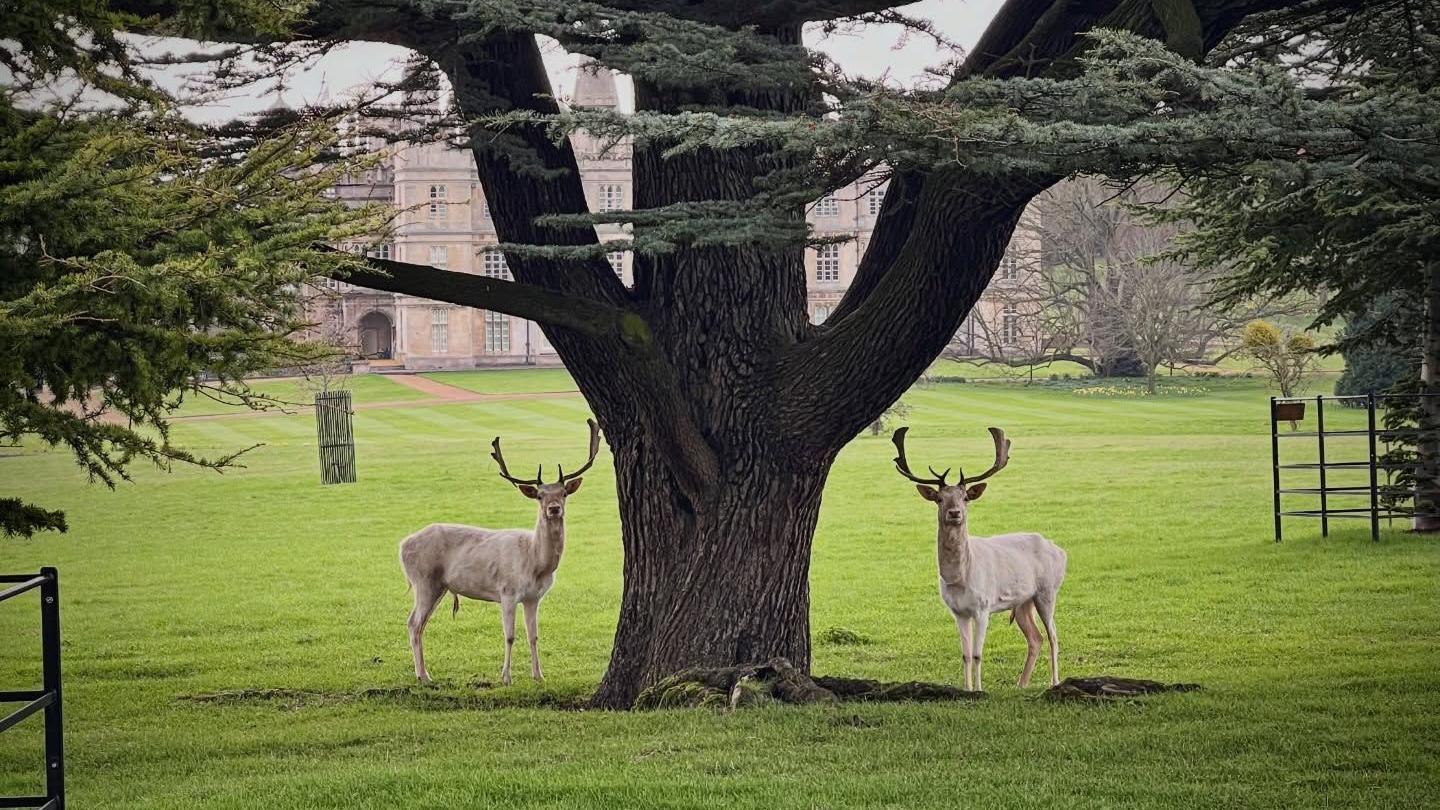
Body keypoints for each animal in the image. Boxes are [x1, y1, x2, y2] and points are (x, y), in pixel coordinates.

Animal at [398, 419, 600, 685]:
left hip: (438, 586)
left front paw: (539, 675)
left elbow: (534, 636)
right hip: (423, 580)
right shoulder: (507, 591)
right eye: (539, 496)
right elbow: (510, 636)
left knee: (420, 625)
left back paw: (423, 673)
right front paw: (506, 677)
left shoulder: (534, 597)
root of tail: (402, 545)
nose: (554, 508)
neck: (536, 563)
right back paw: (424, 675)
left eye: (564, 493)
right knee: (413, 623)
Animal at [891, 426, 1067, 692]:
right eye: (940, 499)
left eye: (965, 497)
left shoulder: (983, 607)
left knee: (1053, 636)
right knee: (1035, 638)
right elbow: (964, 654)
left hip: (1047, 591)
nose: (955, 513)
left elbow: (977, 654)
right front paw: (967, 689)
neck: (959, 578)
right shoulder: (957, 611)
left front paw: (980, 689)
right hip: (1023, 601)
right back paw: (1021, 684)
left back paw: (1054, 682)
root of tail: (1061, 551)